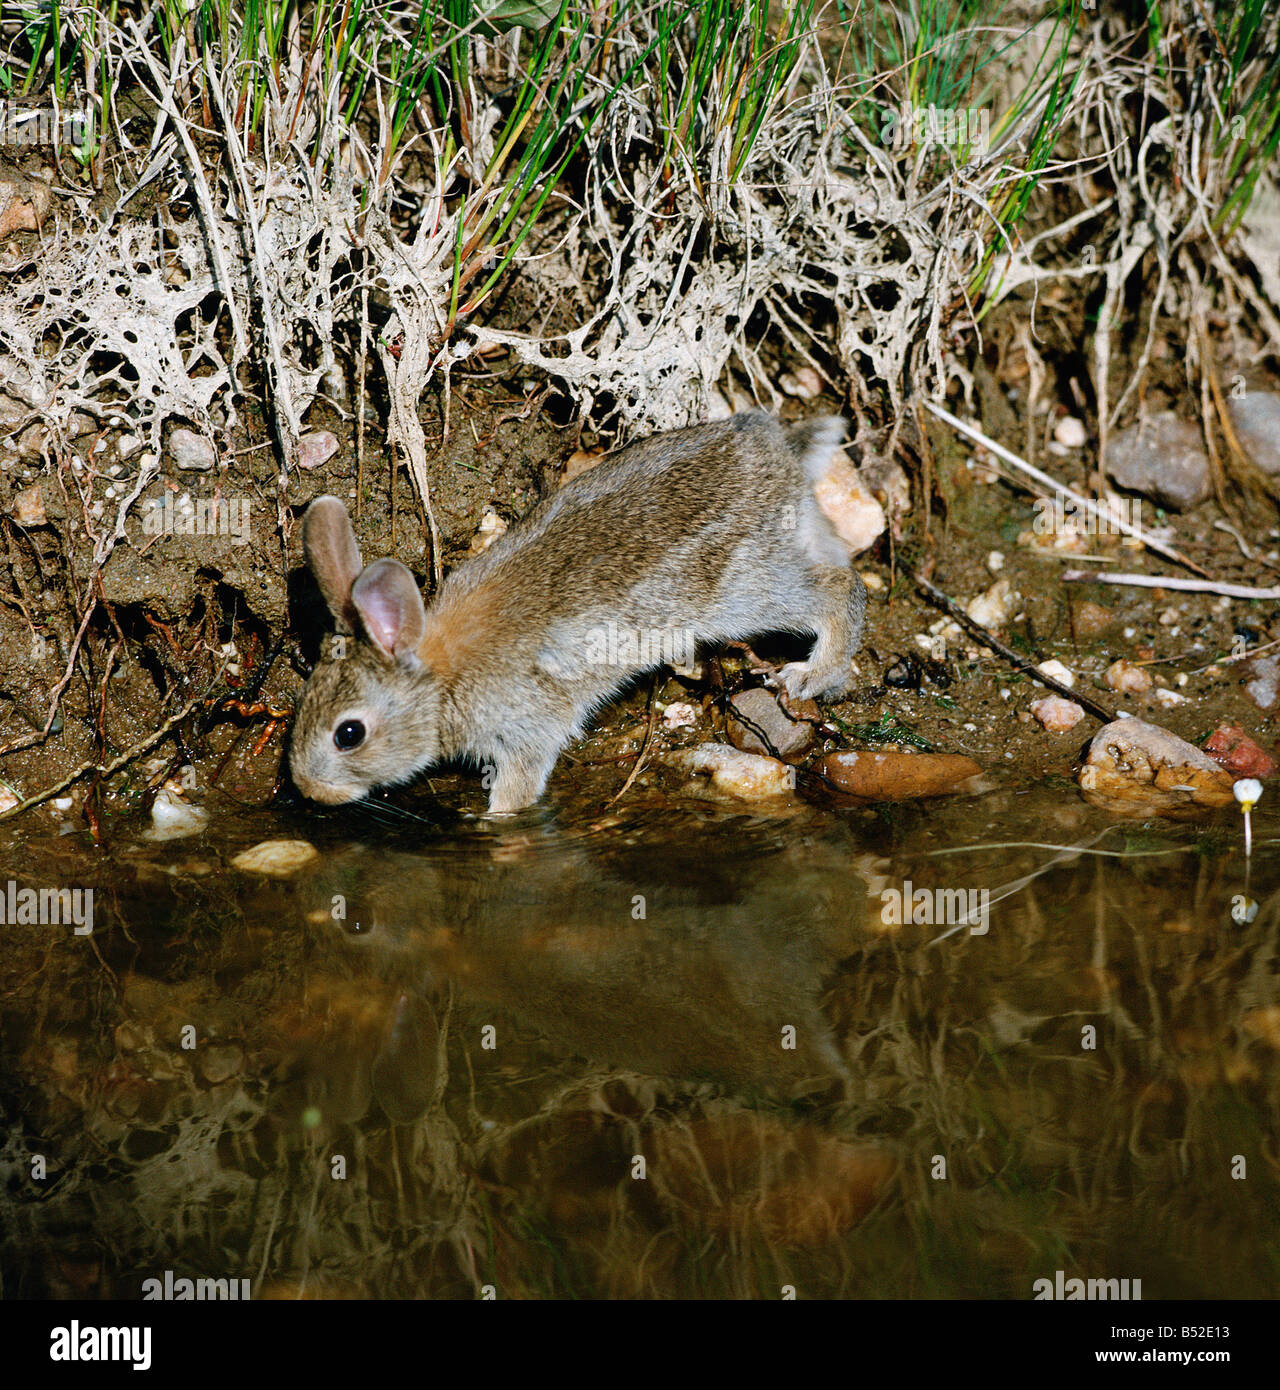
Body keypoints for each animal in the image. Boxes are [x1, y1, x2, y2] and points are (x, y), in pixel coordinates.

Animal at [290, 410, 866, 814]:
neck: (438, 680)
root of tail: (779, 454)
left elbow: (519, 788)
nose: (309, 790)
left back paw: (811, 676)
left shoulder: (527, 730)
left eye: (349, 734)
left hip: (744, 591)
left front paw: (497, 820)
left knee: (843, 589)